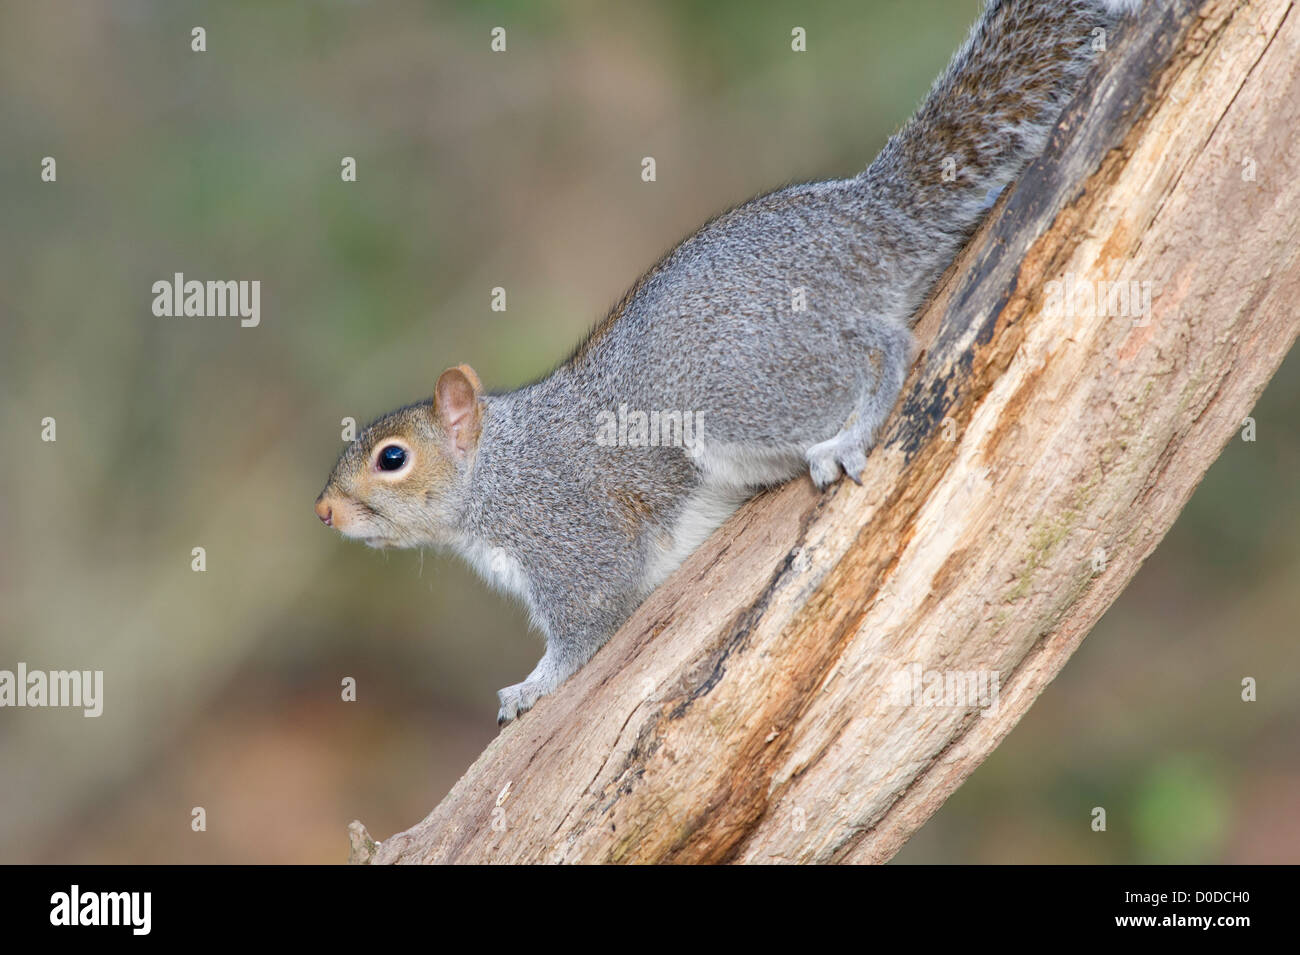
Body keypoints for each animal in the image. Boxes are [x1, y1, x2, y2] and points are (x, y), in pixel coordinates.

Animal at [316, 0, 1141, 725]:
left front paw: (529, 687)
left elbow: (586, 627)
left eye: (392, 457)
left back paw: (849, 432)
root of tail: (867, 227)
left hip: (732, 388)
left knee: (883, 348)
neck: (497, 470)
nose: (323, 511)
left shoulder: (572, 539)